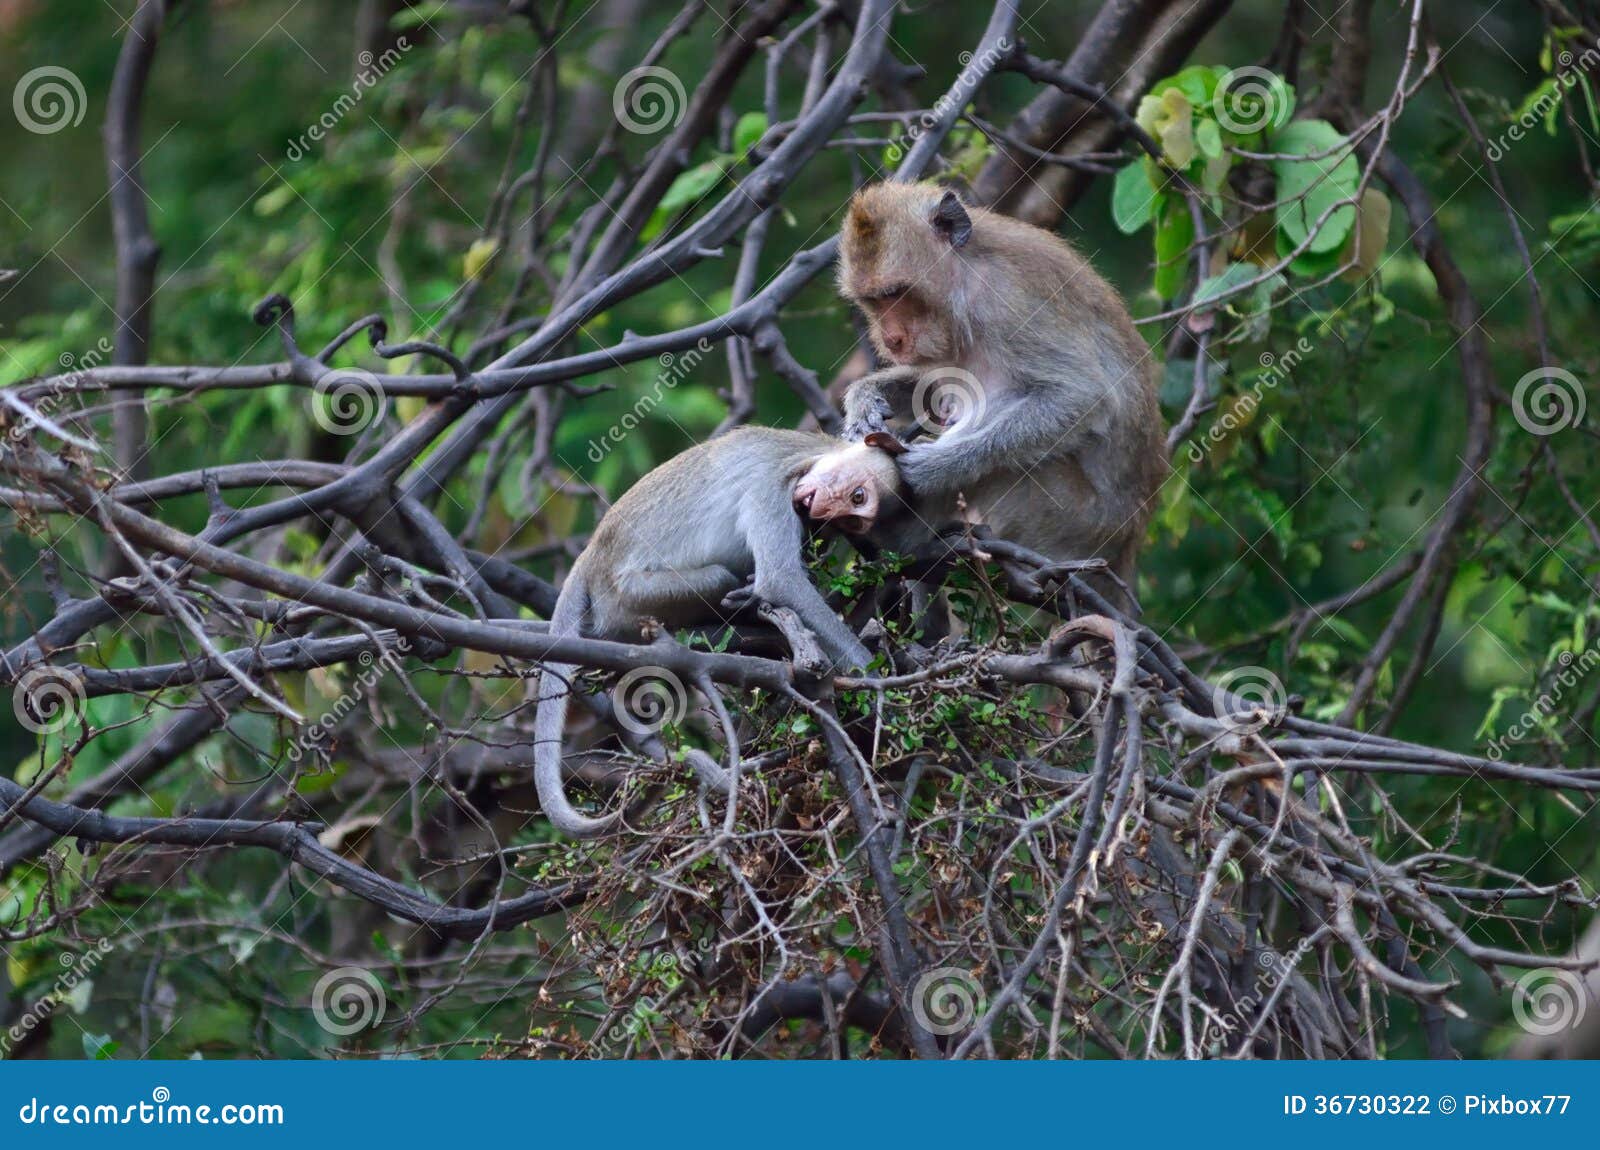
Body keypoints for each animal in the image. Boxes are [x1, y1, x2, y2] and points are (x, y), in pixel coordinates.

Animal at [533, 427, 907, 838]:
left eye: (852, 519)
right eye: (857, 497)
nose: (824, 511)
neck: (807, 453)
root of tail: (590, 559)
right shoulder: (771, 486)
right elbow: (781, 579)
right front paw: (874, 679)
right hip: (630, 599)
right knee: (718, 577)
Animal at [832, 181, 1168, 608]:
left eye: (896, 292)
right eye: (873, 300)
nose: (891, 339)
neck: (967, 276)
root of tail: (1126, 543)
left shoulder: (1010, 302)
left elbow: (1083, 397)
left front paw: (936, 466)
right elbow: (933, 383)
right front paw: (864, 400)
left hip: (1073, 522)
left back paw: (901, 535)